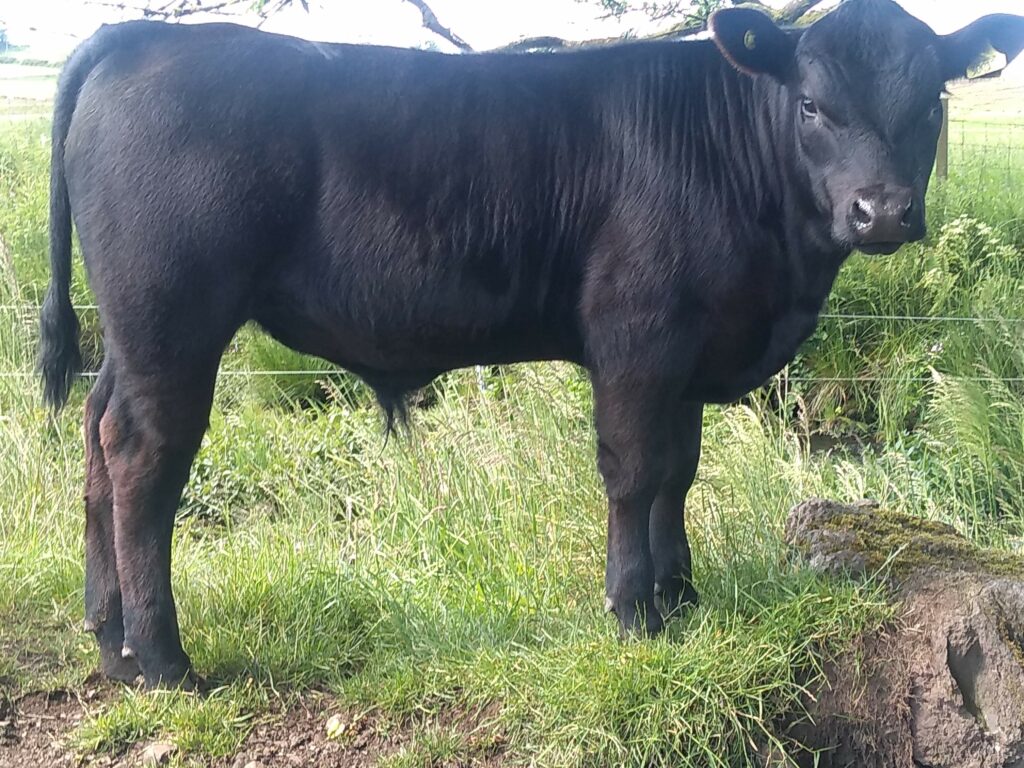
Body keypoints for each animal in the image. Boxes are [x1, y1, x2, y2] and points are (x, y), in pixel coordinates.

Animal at [38, 0, 1024, 688]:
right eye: (813, 103)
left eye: (931, 100)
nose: (882, 210)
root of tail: (138, 36)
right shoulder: (637, 336)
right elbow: (635, 471)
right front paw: (633, 611)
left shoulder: (686, 356)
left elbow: (679, 471)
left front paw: (683, 599)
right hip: (173, 319)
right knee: (143, 460)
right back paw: (165, 662)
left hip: (131, 334)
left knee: (96, 440)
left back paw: (111, 645)